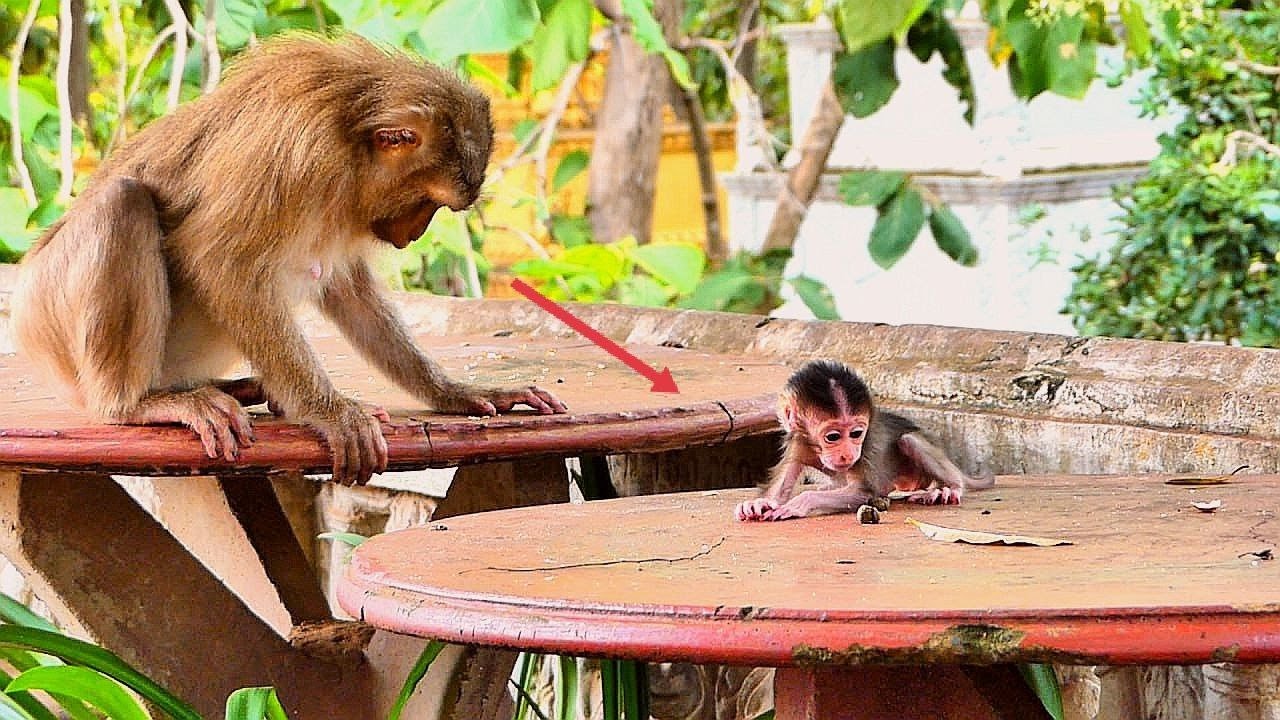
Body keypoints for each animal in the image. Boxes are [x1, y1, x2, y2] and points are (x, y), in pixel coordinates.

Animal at [10, 34, 567, 485]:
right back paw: (135, 405)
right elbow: (221, 262)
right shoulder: (299, 153)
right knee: (122, 203)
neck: (348, 130)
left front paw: (457, 392)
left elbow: (349, 290)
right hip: (51, 320)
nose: (413, 235)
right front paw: (331, 414)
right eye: (427, 203)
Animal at [735, 360, 992, 521]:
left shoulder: (865, 450)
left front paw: (798, 504)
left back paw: (950, 488)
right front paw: (757, 504)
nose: (848, 453)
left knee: (909, 441)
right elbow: (780, 490)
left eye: (857, 434)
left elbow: (865, 492)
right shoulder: (799, 442)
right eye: (833, 437)